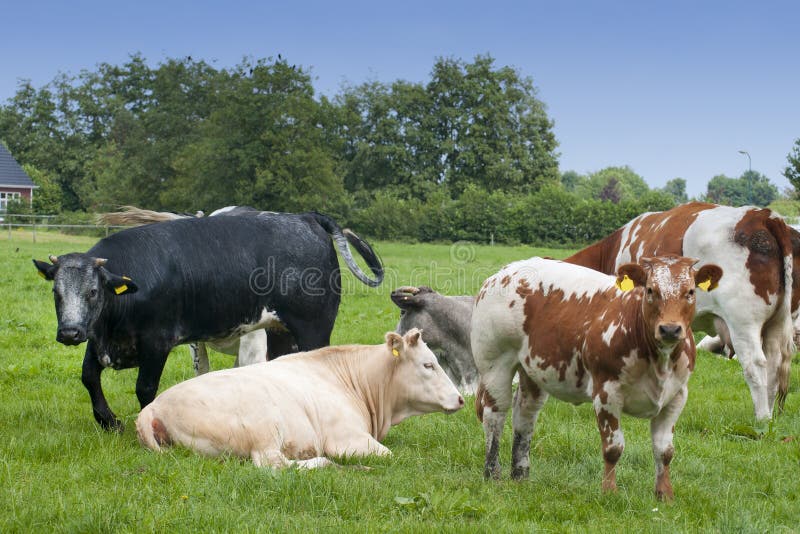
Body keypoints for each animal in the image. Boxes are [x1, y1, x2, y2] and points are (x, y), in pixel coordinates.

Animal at [34, 211, 384, 430]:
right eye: (56, 292)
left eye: (93, 291)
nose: (69, 332)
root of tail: (305, 217)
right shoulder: (97, 338)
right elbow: (89, 377)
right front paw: (108, 421)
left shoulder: (156, 341)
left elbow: (145, 388)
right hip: (280, 332)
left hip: (314, 328)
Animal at [136, 329, 465, 468]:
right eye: (428, 365)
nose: (460, 399)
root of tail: (154, 405)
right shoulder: (347, 439)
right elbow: (389, 454)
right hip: (264, 428)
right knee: (273, 464)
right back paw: (323, 462)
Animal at [472, 256, 723, 500]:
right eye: (651, 290)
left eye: (690, 292)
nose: (670, 329)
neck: (658, 360)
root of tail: (506, 271)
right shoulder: (606, 392)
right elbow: (613, 448)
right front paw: (609, 492)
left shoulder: (677, 395)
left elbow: (665, 451)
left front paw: (664, 495)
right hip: (496, 364)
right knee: (495, 414)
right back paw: (492, 474)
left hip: (532, 370)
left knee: (525, 415)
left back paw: (520, 475)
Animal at [564, 202, 795, 422]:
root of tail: (764, 216)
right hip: (776, 323)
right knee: (773, 366)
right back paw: (770, 416)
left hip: (743, 322)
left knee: (755, 365)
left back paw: (761, 419)